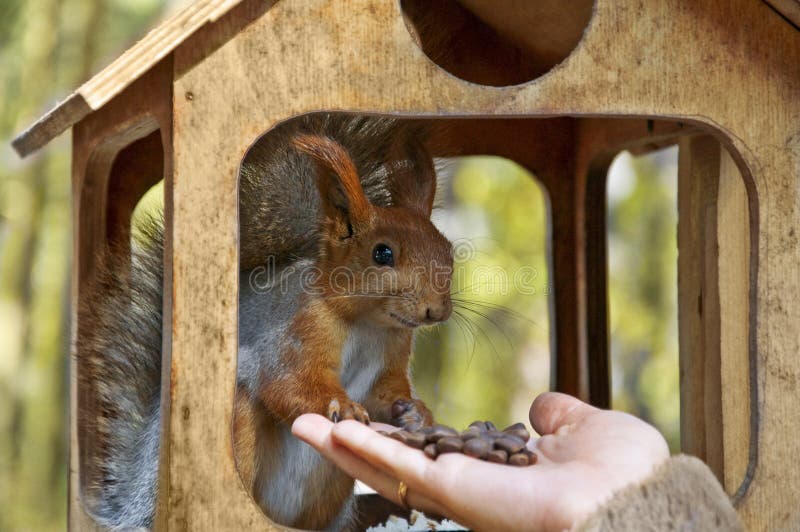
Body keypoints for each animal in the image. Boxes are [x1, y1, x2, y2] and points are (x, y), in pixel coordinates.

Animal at [79, 114, 454, 530]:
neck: (367, 324)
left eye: (448, 250)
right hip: (239, 428)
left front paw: (415, 413)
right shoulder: (295, 329)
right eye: (382, 253)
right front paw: (342, 406)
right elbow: (289, 383)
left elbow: (385, 395)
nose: (436, 310)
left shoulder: (392, 352)